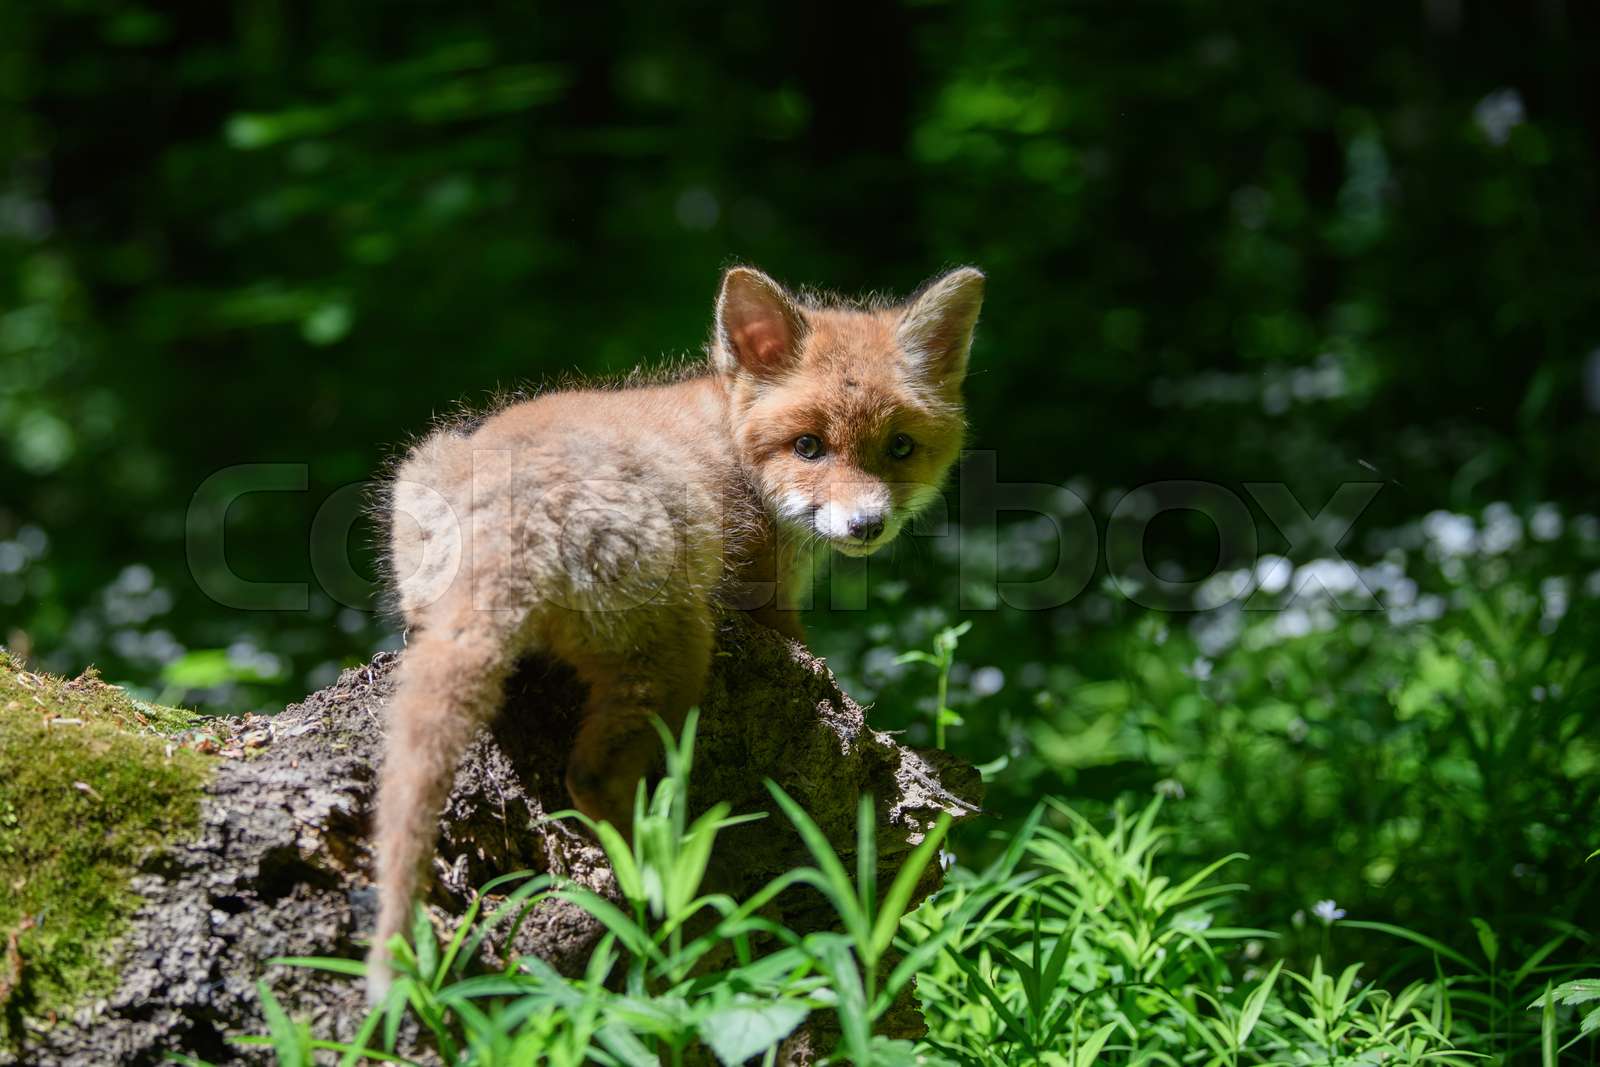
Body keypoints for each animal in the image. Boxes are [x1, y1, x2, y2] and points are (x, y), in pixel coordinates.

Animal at [366, 263, 984, 998]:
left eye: (899, 448)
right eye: (808, 446)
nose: (866, 526)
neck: (729, 432)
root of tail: (510, 517)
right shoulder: (765, 599)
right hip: (680, 651)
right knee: (593, 778)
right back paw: (674, 893)